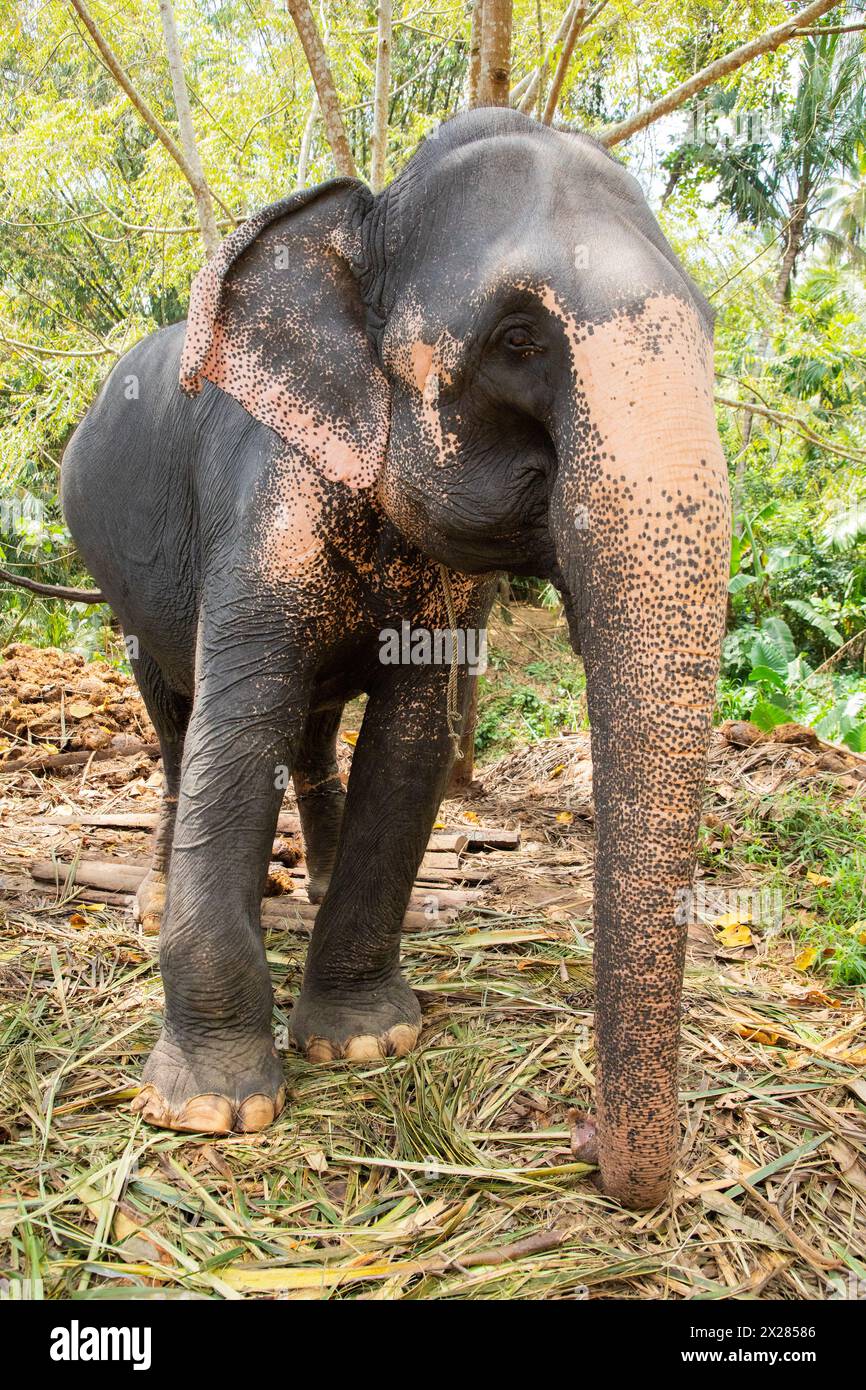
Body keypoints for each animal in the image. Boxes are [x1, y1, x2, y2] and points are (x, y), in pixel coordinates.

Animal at [60, 106, 730, 1209]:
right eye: (517, 339)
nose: (583, 1140)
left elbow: (410, 741)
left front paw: (365, 1043)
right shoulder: (260, 498)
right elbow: (238, 724)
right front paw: (211, 1109)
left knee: (313, 725)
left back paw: (315, 883)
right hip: (118, 584)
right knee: (173, 713)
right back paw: (157, 898)